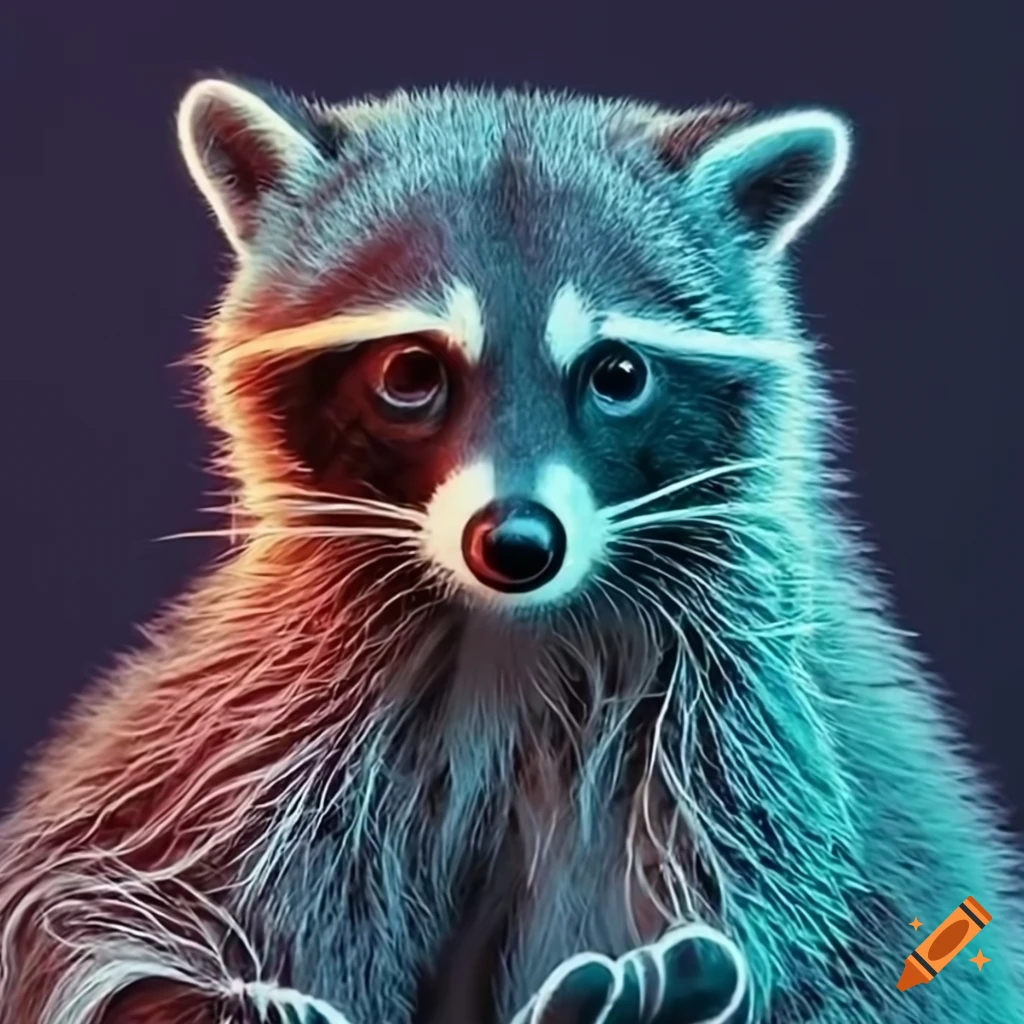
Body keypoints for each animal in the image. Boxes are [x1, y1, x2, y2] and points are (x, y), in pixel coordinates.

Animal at [0, 76, 1020, 1024]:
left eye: (618, 374)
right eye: (411, 372)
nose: (518, 543)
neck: (510, 631)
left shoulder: (756, 738)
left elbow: (808, 908)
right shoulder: (253, 731)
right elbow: (71, 895)